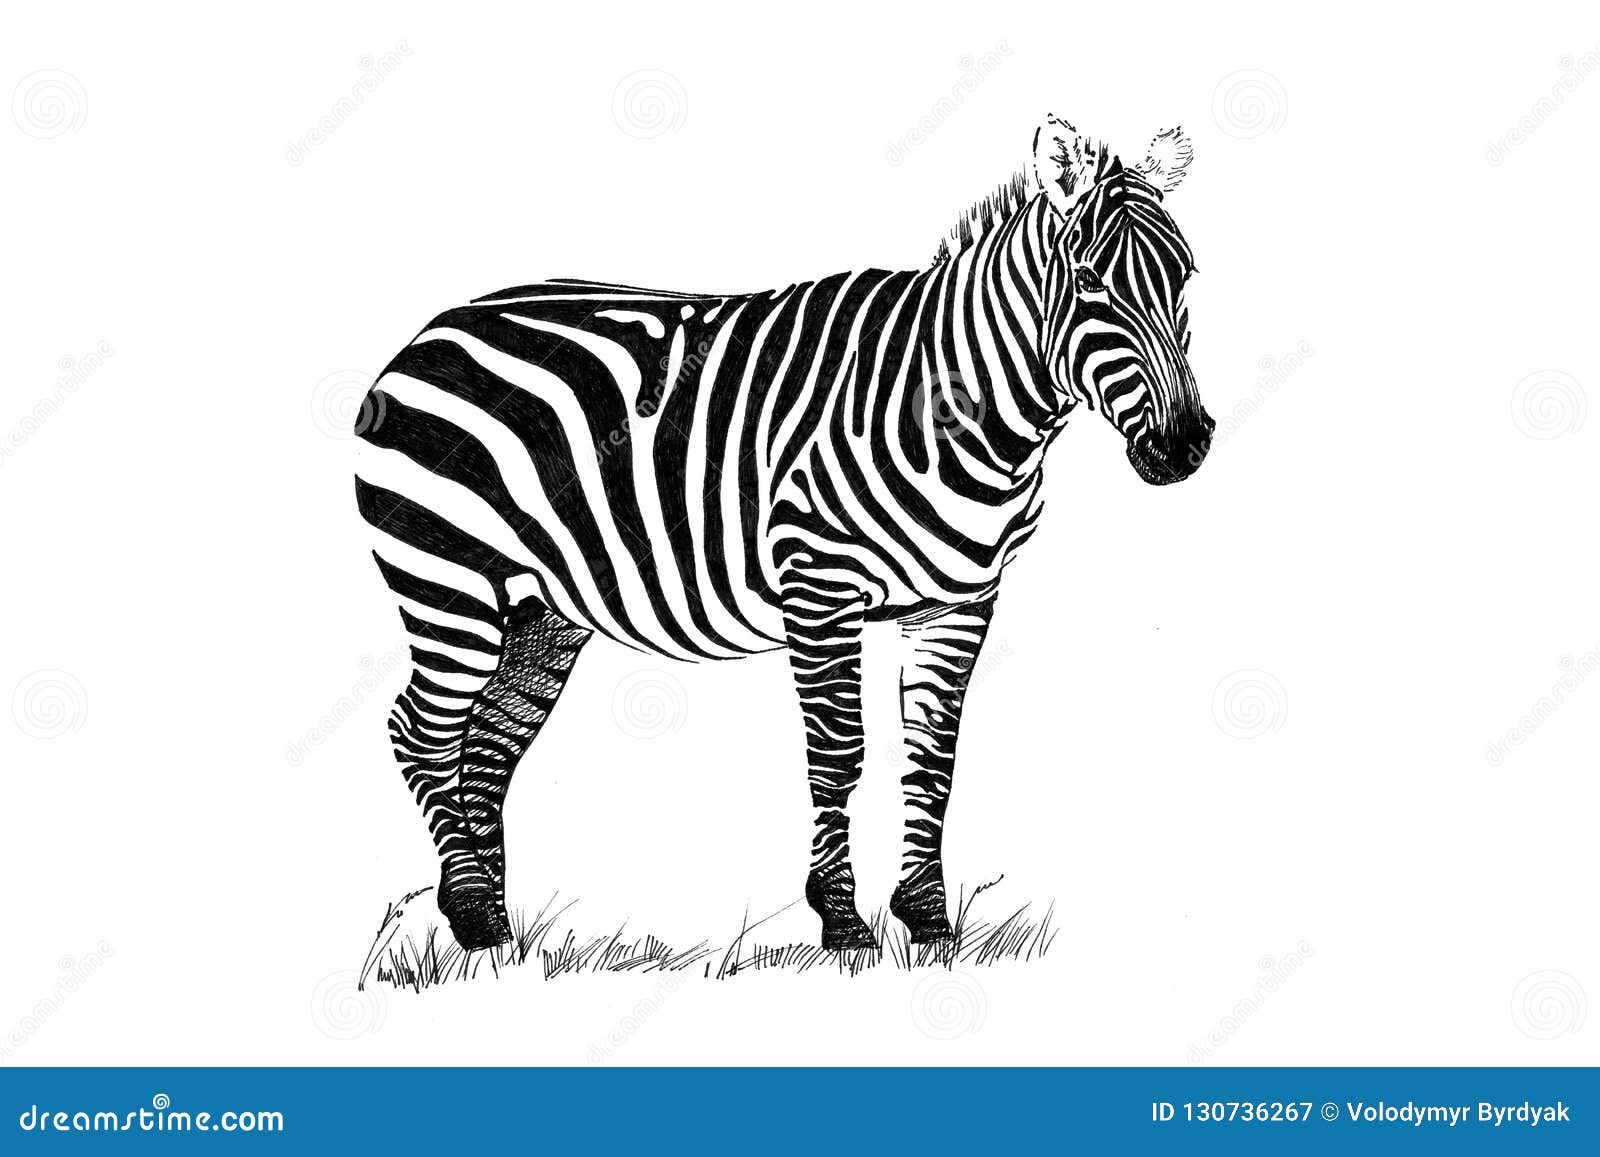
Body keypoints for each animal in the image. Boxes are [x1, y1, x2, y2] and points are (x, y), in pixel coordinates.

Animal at [353, 115, 1214, 950]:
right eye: (1091, 282)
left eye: (1186, 277)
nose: (1184, 447)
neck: (958, 410)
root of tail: (434, 328)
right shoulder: (819, 587)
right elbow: (839, 753)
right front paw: (842, 918)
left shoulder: (961, 602)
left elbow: (932, 757)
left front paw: (929, 919)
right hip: (449, 582)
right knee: (421, 730)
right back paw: (471, 911)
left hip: (541, 607)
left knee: (489, 741)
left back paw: (494, 927)